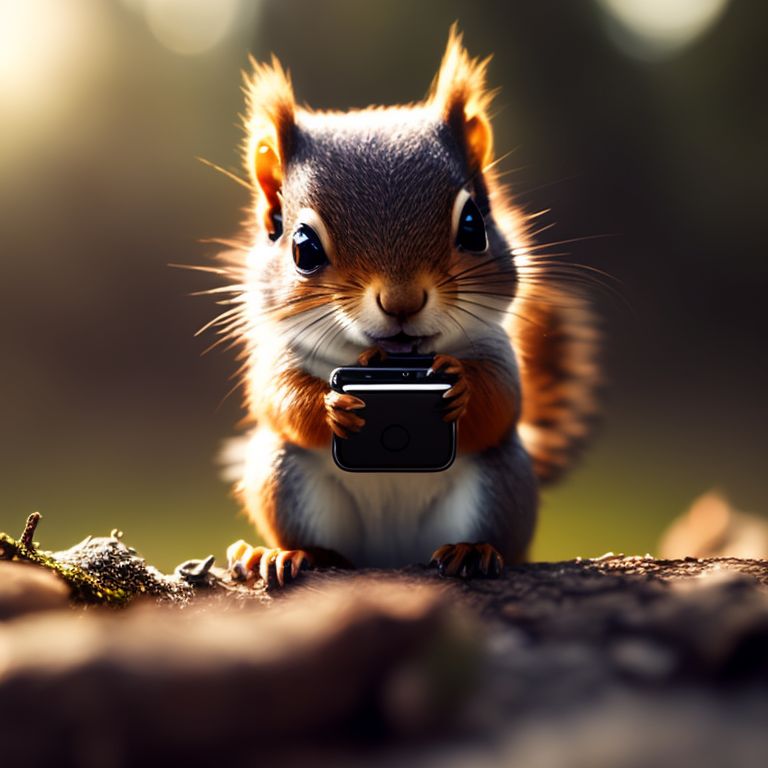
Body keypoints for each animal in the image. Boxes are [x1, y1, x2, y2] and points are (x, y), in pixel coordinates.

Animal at [210, 27, 600, 585]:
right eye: (303, 246)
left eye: (473, 226)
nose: (402, 301)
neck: (391, 361)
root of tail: (389, 555)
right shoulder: (276, 356)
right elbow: (277, 399)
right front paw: (330, 406)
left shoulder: (497, 351)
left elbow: (503, 399)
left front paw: (461, 389)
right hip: (282, 479)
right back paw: (290, 554)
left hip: (498, 484)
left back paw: (472, 549)